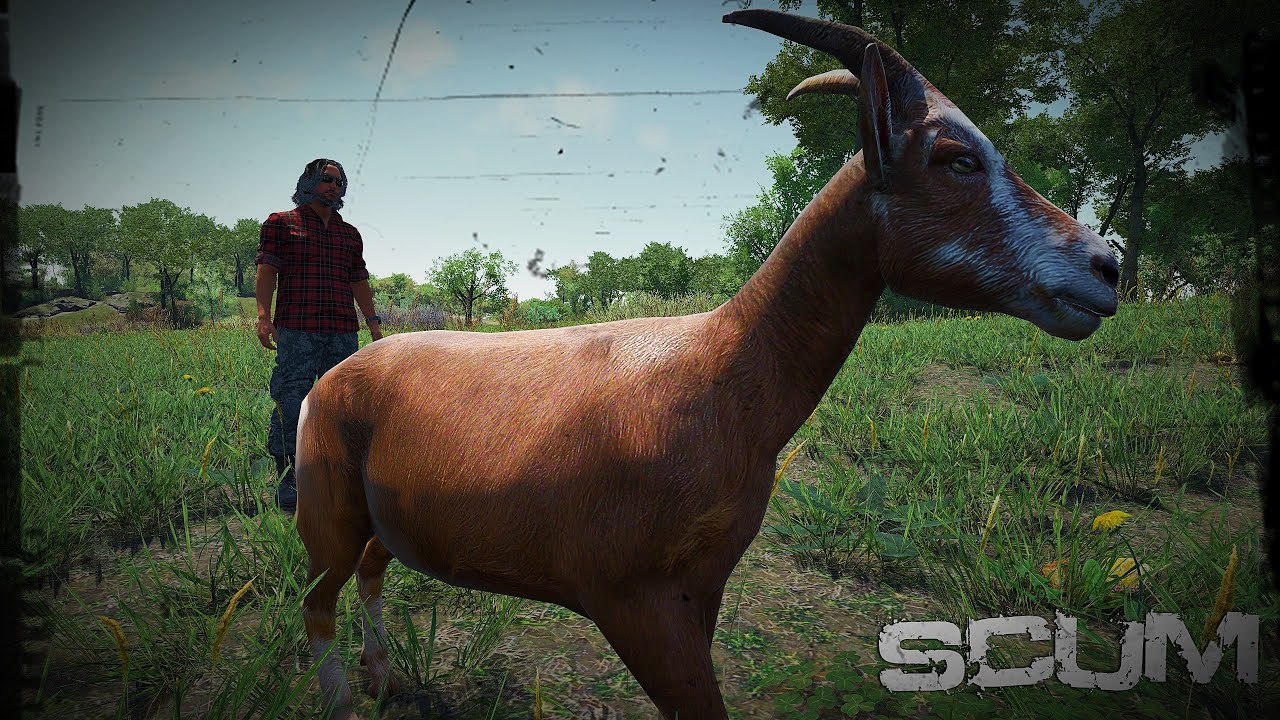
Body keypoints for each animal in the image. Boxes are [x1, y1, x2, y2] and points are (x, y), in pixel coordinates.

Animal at [294, 9, 1120, 719]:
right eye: (957, 160)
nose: (1106, 267)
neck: (721, 369)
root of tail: (332, 381)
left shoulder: (705, 587)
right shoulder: (634, 600)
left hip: (388, 517)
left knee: (371, 571)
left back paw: (384, 676)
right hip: (327, 509)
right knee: (317, 599)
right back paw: (341, 700)